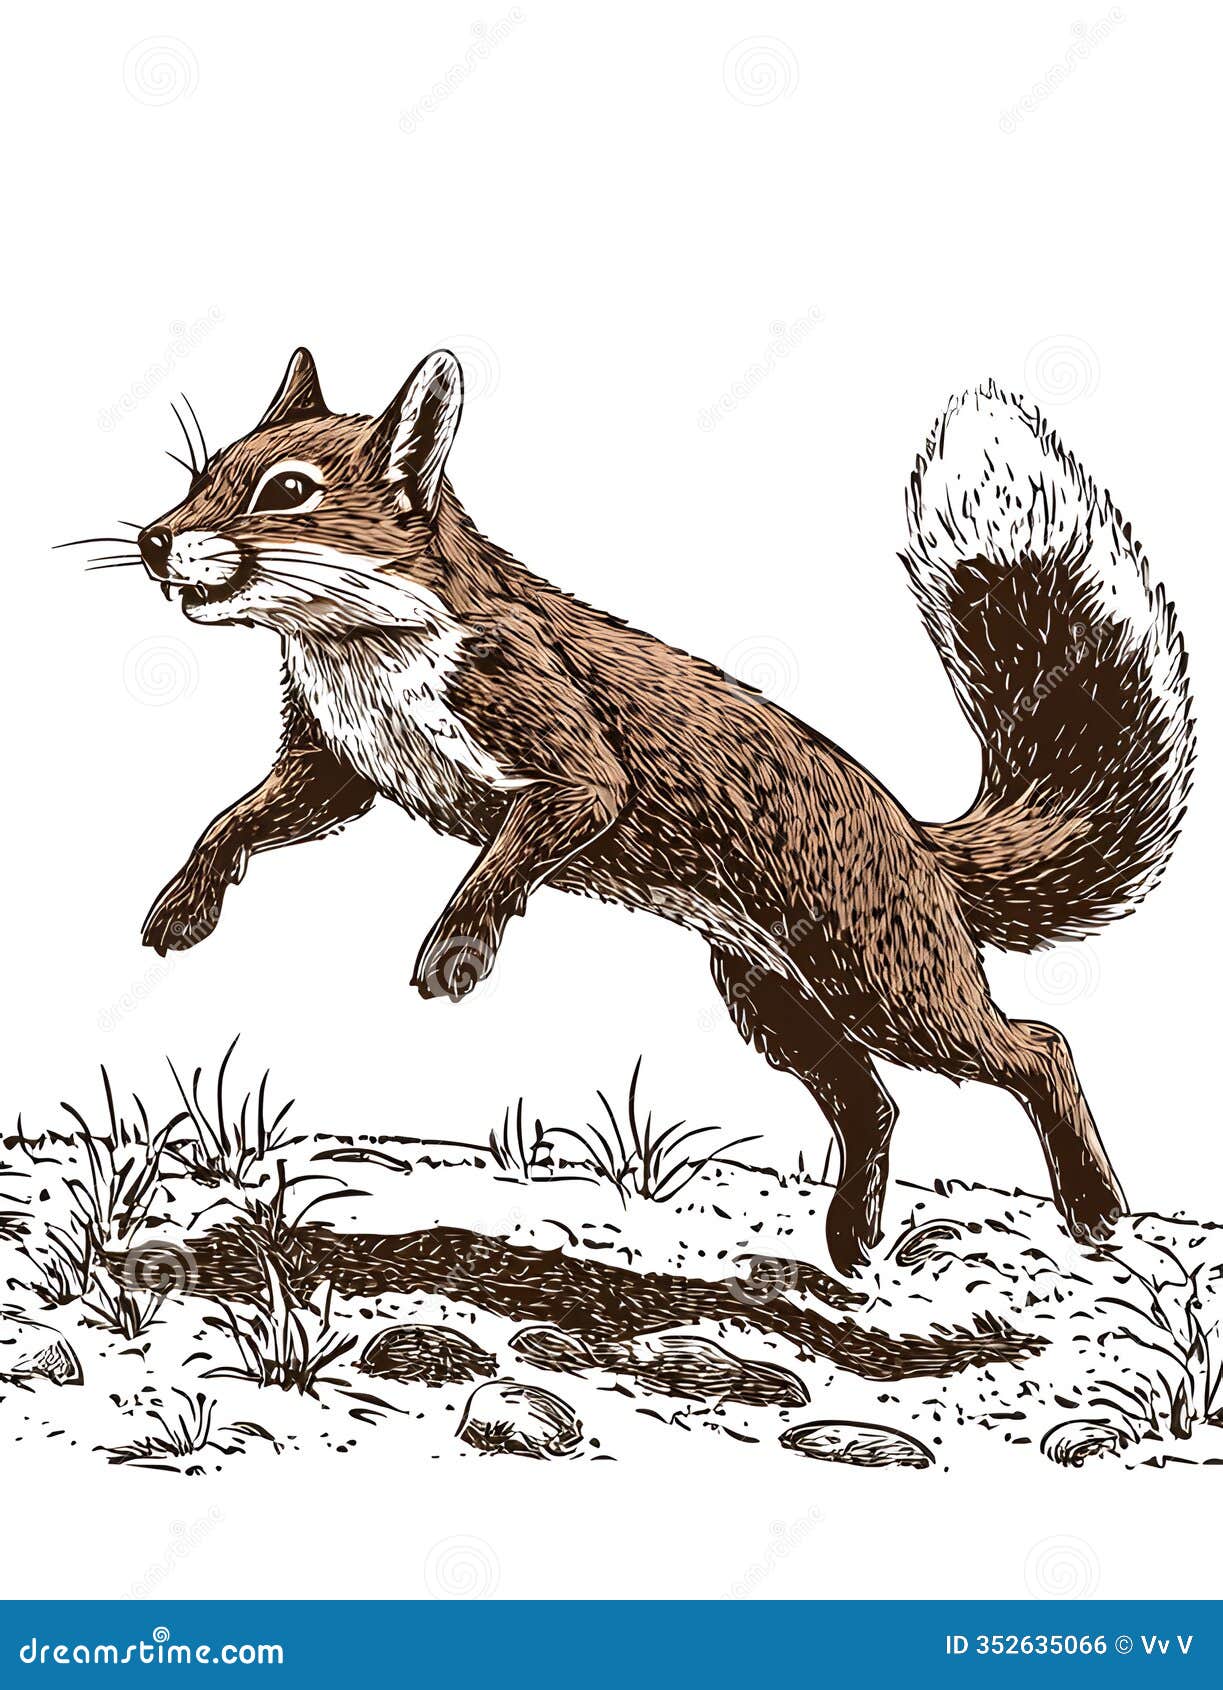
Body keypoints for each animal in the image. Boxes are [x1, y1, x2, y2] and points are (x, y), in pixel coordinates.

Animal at [123, 348, 1194, 1277]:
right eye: (204, 475)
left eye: (285, 492)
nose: (151, 540)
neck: (363, 658)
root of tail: (913, 834)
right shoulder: (337, 772)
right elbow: (228, 826)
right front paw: (182, 909)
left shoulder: (575, 775)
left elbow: (497, 864)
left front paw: (457, 952)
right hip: (772, 1003)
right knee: (875, 1107)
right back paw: (850, 1243)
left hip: (888, 993)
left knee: (1037, 1049)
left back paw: (1094, 1210)